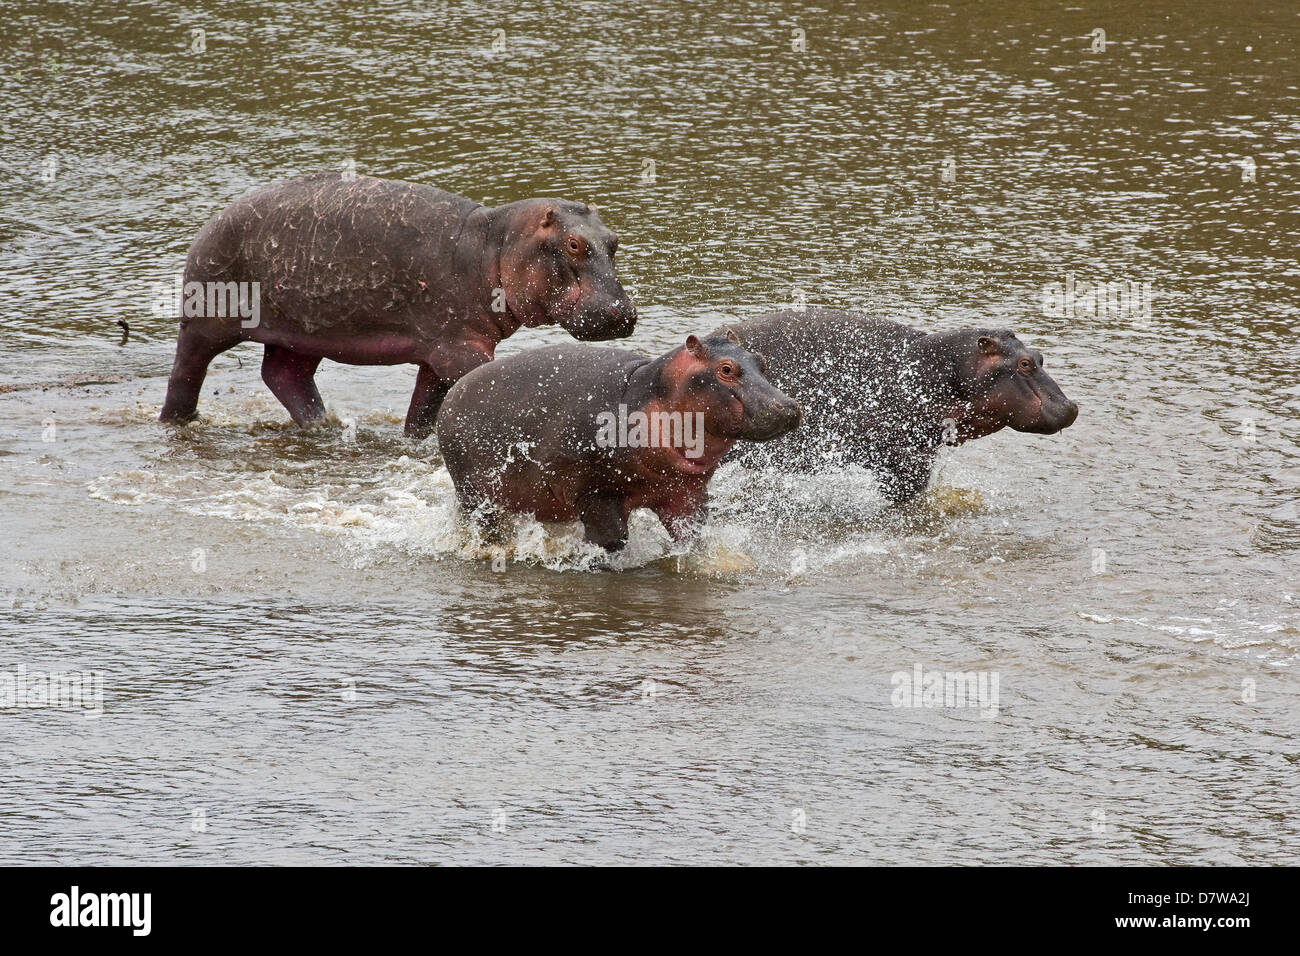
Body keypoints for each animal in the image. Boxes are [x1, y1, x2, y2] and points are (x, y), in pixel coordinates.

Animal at [159, 172, 637, 437]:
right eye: (573, 244)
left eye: (613, 240)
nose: (625, 313)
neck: (496, 243)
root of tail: (213, 219)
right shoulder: (458, 349)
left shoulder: (438, 350)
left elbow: (423, 410)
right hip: (206, 319)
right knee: (187, 371)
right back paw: (175, 420)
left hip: (305, 333)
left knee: (283, 374)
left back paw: (323, 425)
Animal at [436, 332, 802, 551]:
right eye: (726, 369)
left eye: (761, 361)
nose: (787, 406)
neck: (655, 392)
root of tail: (452, 395)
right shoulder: (597, 491)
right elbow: (612, 539)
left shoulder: (685, 493)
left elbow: (693, 536)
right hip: (476, 497)